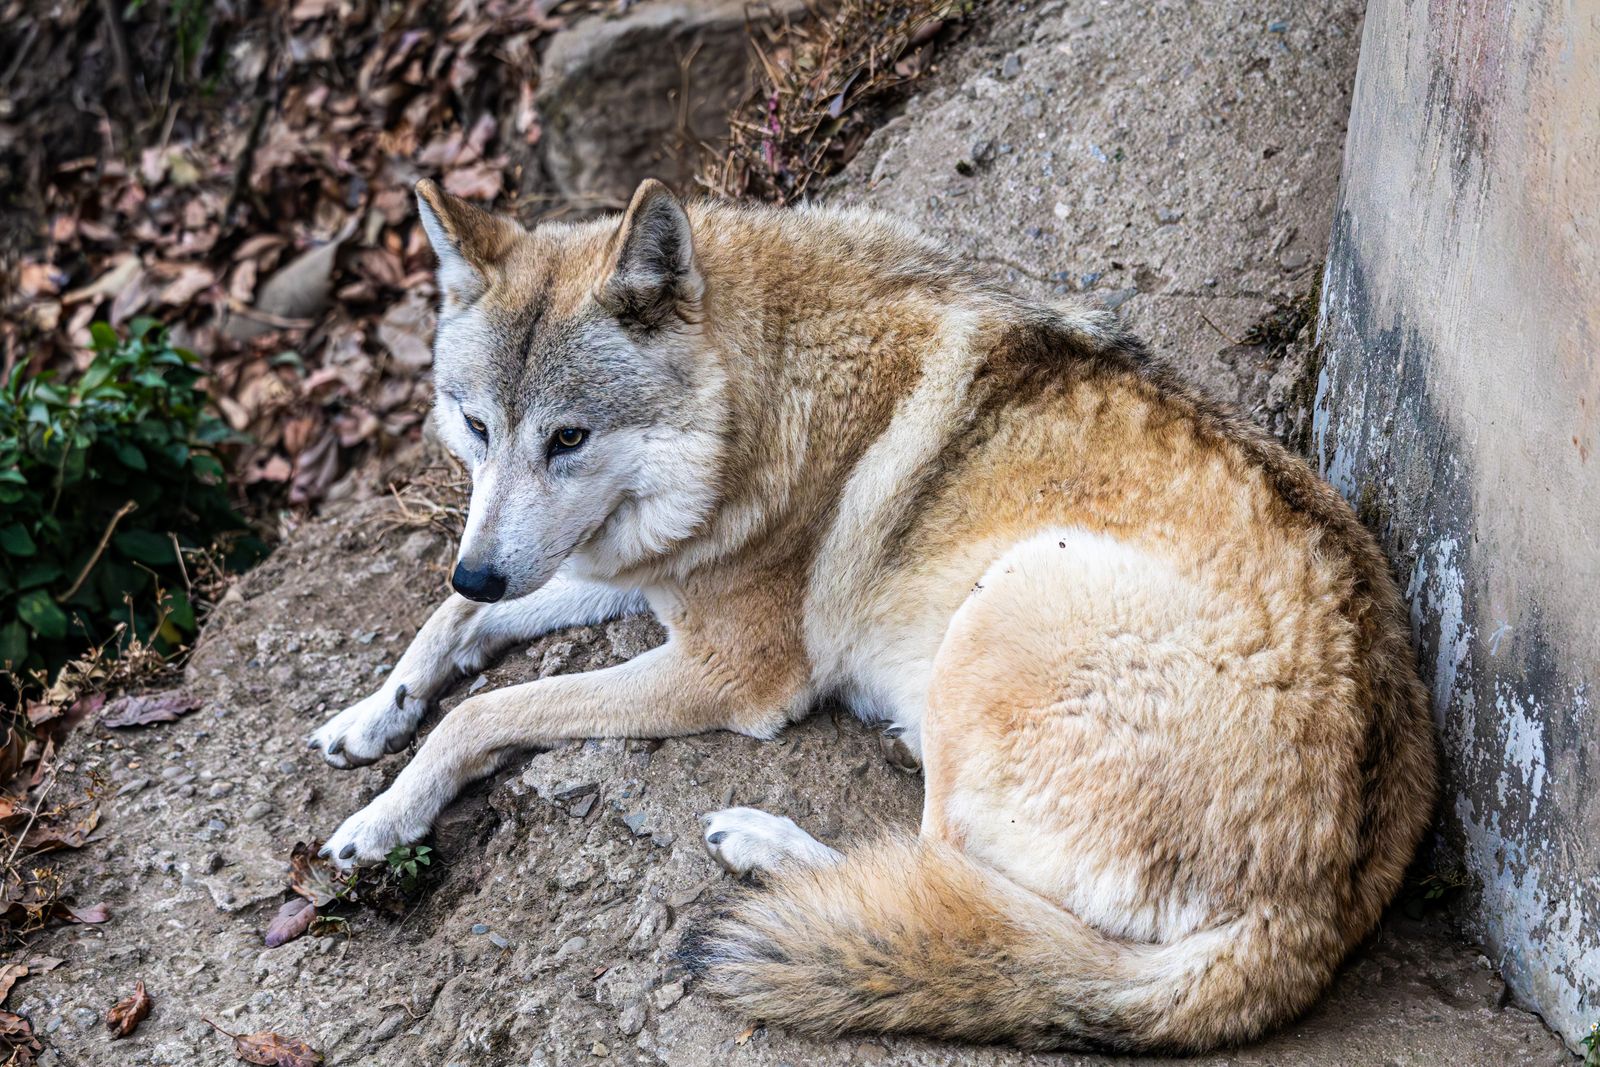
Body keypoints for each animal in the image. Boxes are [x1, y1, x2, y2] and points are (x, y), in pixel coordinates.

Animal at [307, 177, 1435, 1052]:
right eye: (476, 425)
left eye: (569, 436)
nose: (479, 568)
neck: (763, 392)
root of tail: (1308, 922)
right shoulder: (638, 570)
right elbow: (449, 631)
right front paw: (369, 718)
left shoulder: (730, 670)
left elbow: (488, 710)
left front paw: (381, 816)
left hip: (1006, 604)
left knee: (939, 888)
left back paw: (764, 844)